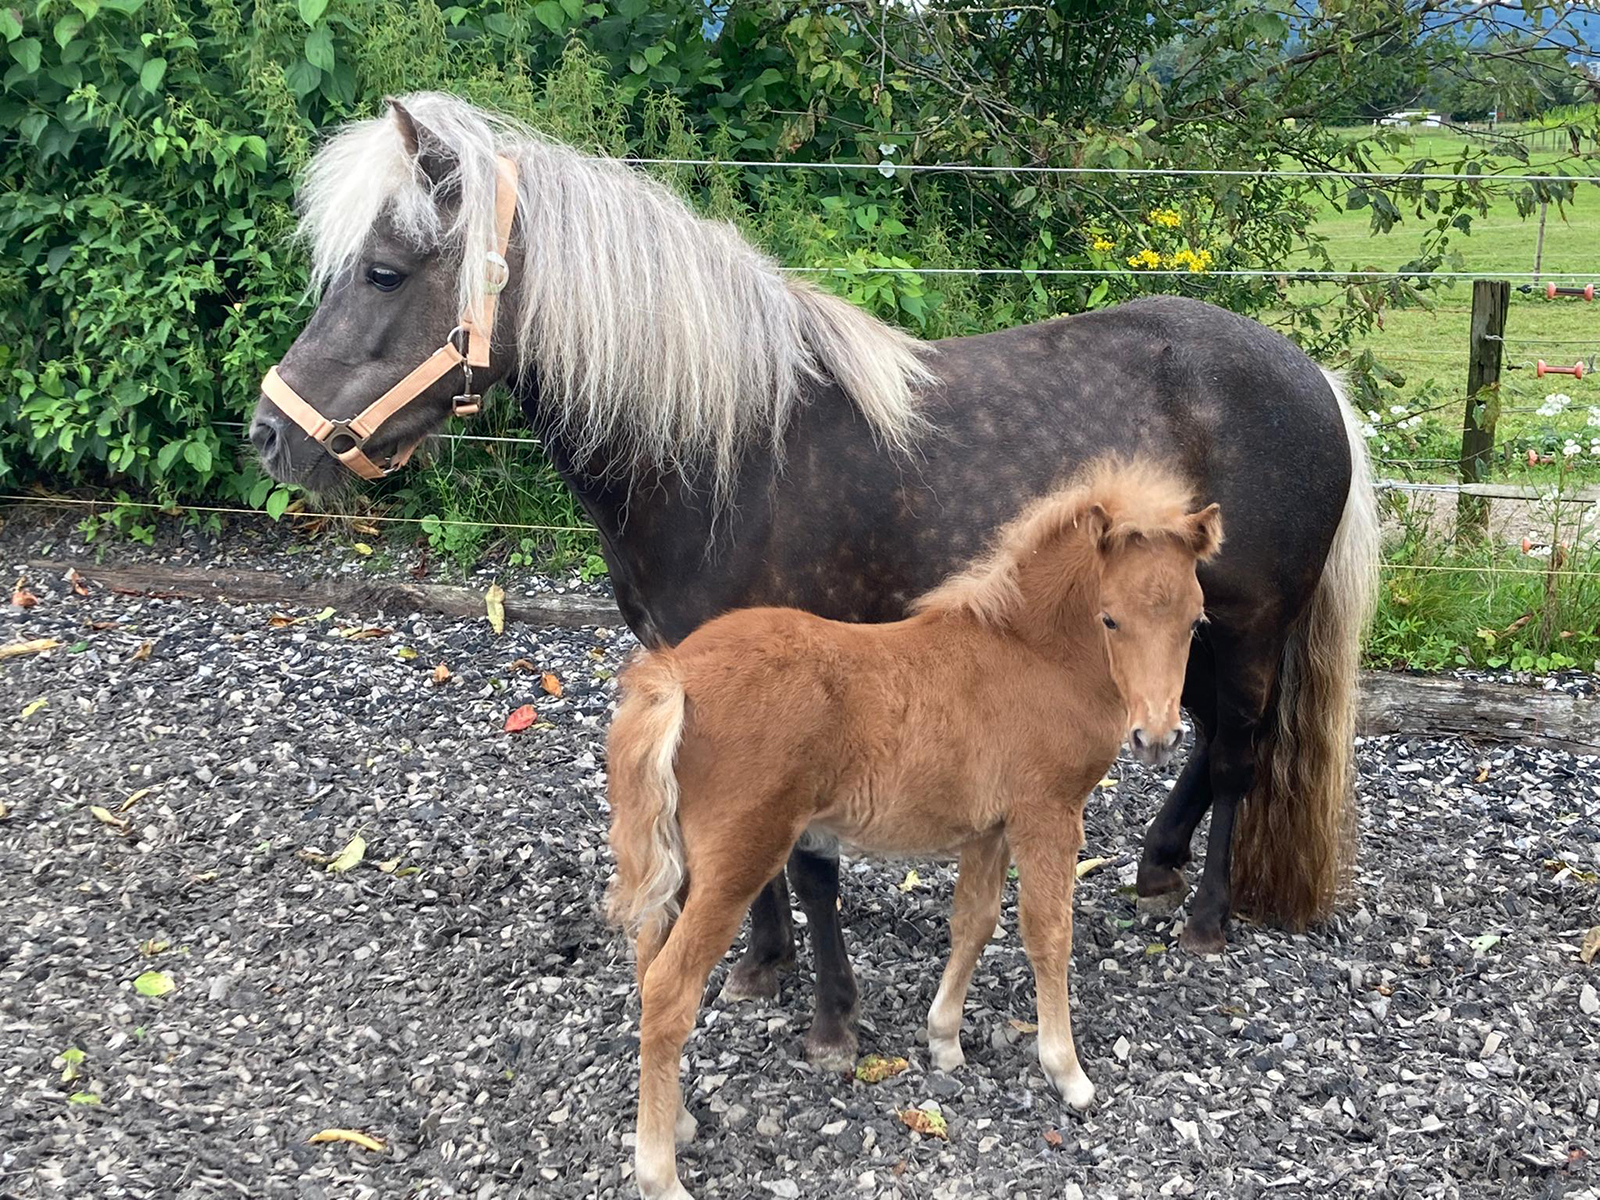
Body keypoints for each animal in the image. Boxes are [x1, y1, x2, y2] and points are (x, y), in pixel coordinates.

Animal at [250, 92, 1380, 1071]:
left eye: (385, 272)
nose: (270, 435)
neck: (729, 448)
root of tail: (1314, 381)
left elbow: (809, 858)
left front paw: (833, 1016)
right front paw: (761, 966)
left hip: (1246, 627)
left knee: (1235, 751)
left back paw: (1205, 916)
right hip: (1176, 628)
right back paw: (1155, 865)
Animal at [606, 459, 1222, 1200]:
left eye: (1194, 621)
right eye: (1111, 617)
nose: (1156, 737)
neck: (1029, 653)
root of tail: (672, 676)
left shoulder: (989, 827)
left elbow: (975, 922)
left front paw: (945, 1041)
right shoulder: (1047, 812)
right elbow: (1048, 934)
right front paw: (1067, 1073)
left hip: (679, 862)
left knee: (648, 969)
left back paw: (677, 1122)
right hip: (738, 858)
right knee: (670, 989)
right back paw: (659, 1170)